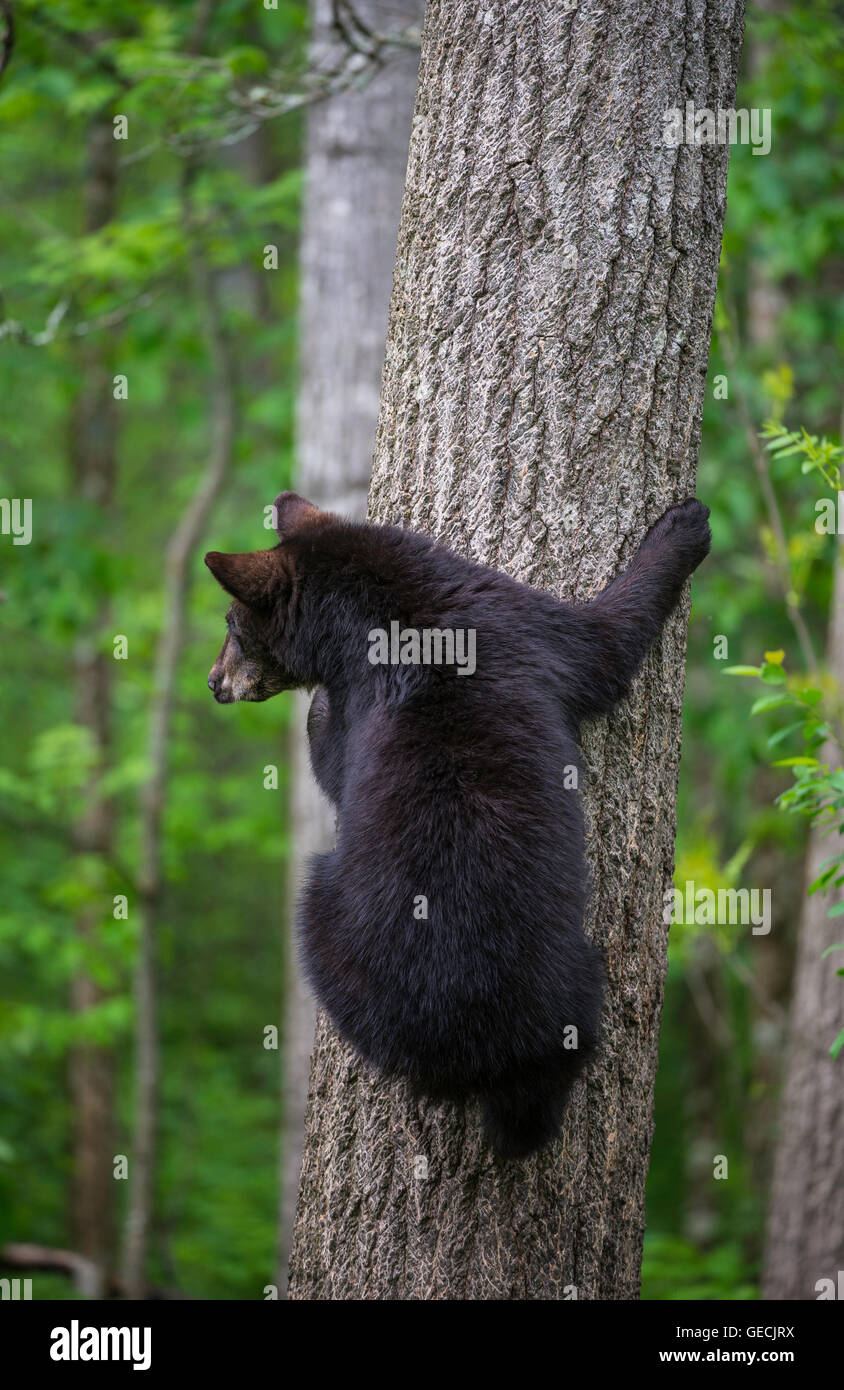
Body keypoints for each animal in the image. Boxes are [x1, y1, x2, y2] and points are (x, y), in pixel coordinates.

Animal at [205, 490, 711, 1158]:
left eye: (232, 627)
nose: (213, 683)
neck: (387, 608)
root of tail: (492, 1057)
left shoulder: (506, 621)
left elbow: (603, 637)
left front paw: (682, 525)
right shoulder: (514, 623)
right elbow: (603, 640)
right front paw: (684, 528)